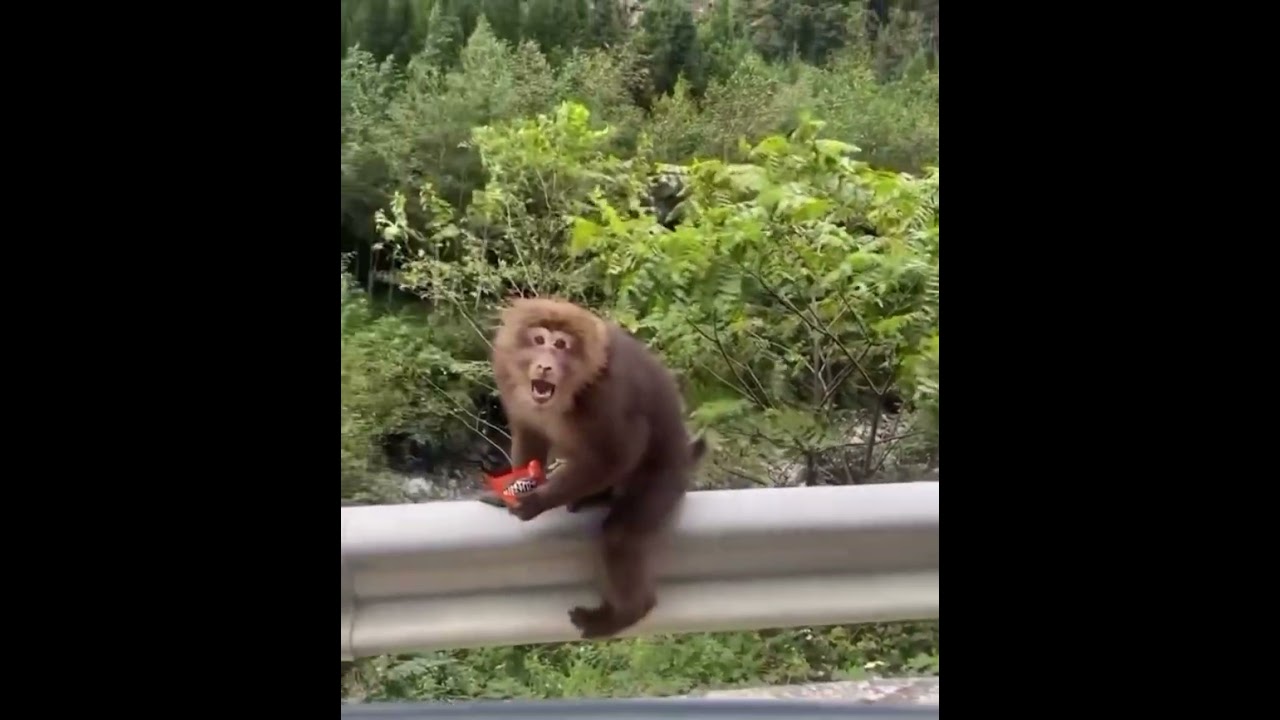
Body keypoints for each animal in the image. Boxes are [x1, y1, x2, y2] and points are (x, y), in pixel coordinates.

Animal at [483, 296, 708, 639]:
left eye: (560, 345)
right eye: (539, 340)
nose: (545, 365)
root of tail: (685, 457)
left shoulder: (605, 396)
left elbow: (619, 453)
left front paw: (537, 501)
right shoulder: (509, 379)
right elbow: (530, 433)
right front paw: (511, 489)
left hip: (663, 480)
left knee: (619, 536)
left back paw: (624, 614)